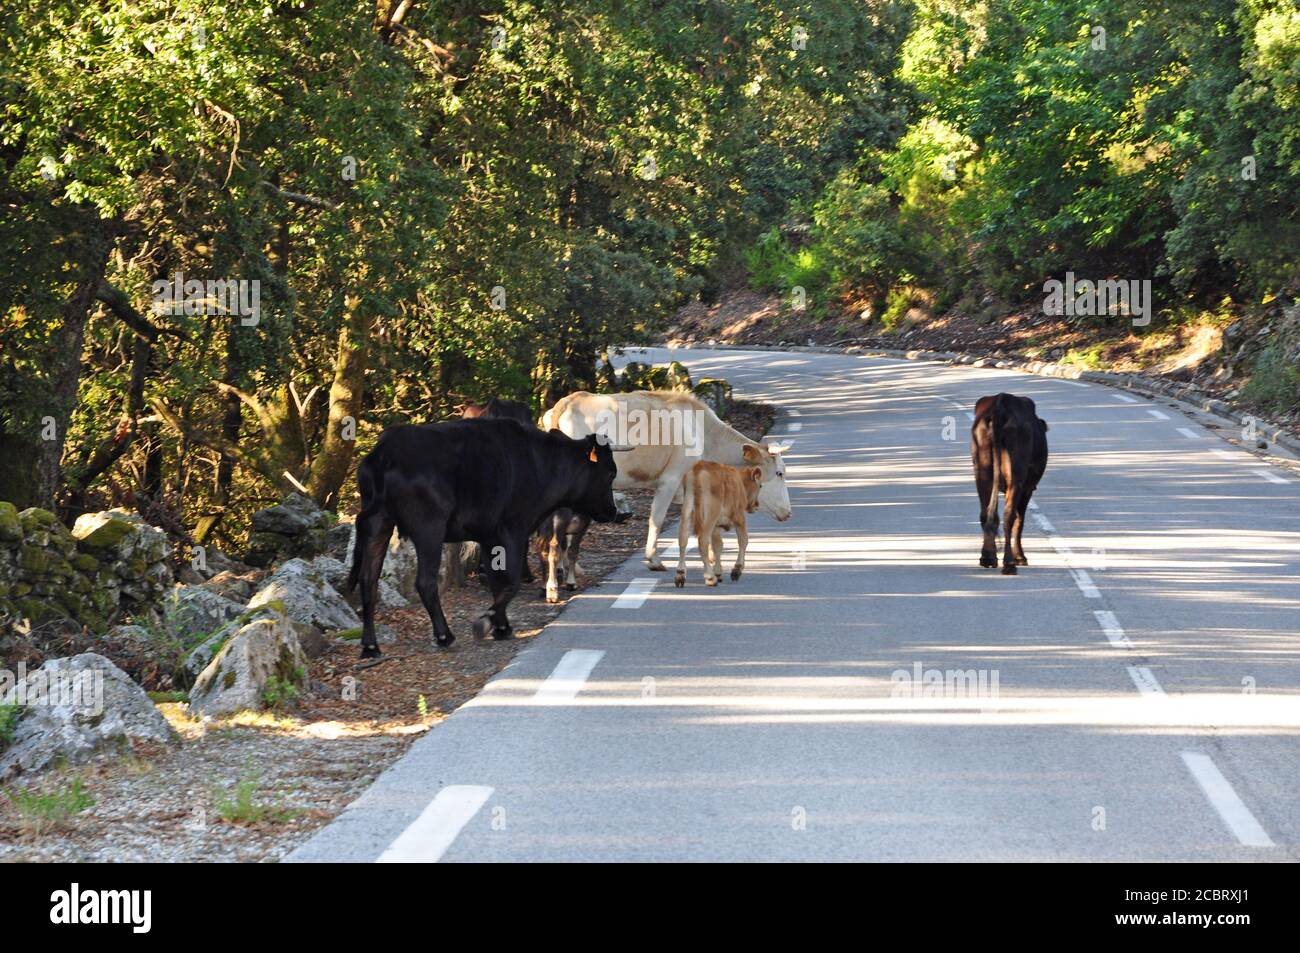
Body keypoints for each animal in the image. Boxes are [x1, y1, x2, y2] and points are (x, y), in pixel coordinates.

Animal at [347, 419, 621, 657]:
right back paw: (444, 635)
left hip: (378, 524)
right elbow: (511, 582)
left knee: (368, 582)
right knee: (425, 582)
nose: (613, 511)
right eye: (610, 474)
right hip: (429, 529)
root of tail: (385, 452)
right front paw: (488, 621)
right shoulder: (512, 530)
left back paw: (370, 646)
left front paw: (502, 626)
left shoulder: (489, 536)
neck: (541, 464)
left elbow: (496, 580)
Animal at [540, 390, 791, 593]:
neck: (703, 433)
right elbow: (657, 520)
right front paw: (654, 560)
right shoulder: (669, 481)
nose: (788, 513)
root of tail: (568, 401)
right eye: (780, 473)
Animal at [971, 393, 1049, 574]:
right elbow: (1020, 521)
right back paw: (1009, 563)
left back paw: (987, 558)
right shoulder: (1027, 489)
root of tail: (1000, 403)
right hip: (1016, 475)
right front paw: (1020, 557)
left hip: (982, 471)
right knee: (1009, 516)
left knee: (986, 513)